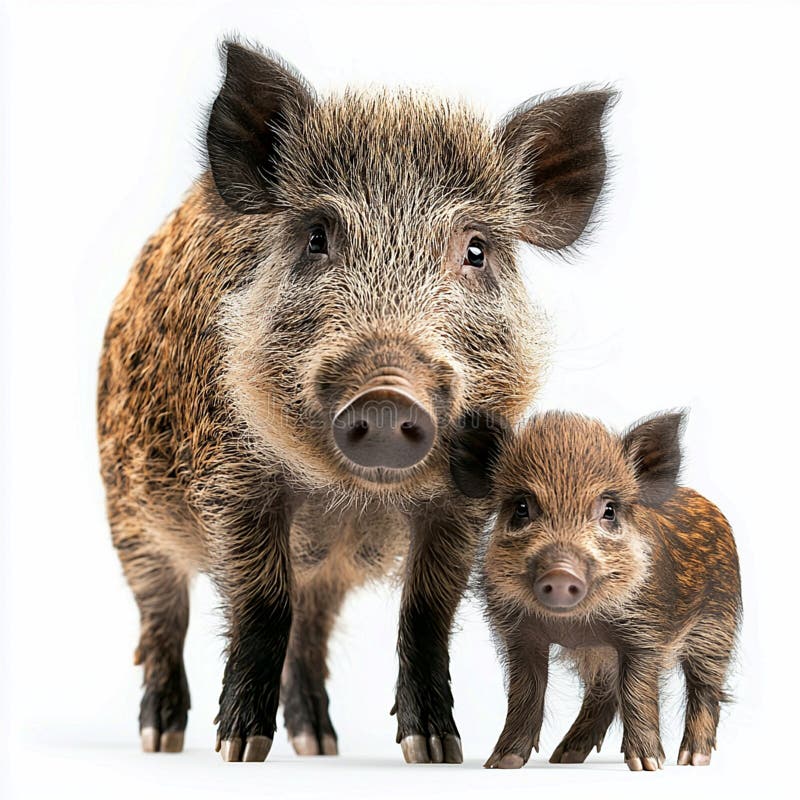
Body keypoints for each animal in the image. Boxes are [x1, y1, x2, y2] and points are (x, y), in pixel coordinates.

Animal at [97, 39, 615, 762]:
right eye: (317, 236)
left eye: (475, 249)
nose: (387, 394)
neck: (352, 495)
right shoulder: (233, 482)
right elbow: (262, 604)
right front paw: (238, 749)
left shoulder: (461, 503)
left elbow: (426, 612)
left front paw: (436, 750)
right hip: (129, 513)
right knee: (162, 614)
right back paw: (162, 738)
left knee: (310, 628)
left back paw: (319, 743)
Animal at [450, 410, 741, 771]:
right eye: (521, 508)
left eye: (609, 510)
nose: (561, 572)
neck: (575, 625)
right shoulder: (519, 634)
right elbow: (526, 692)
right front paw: (502, 762)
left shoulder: (645, 632)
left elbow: (637, 692)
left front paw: (648, 765)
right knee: (603, 694)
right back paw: (564, 756)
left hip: (718, 625)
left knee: (706, 687)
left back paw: (692, 760)